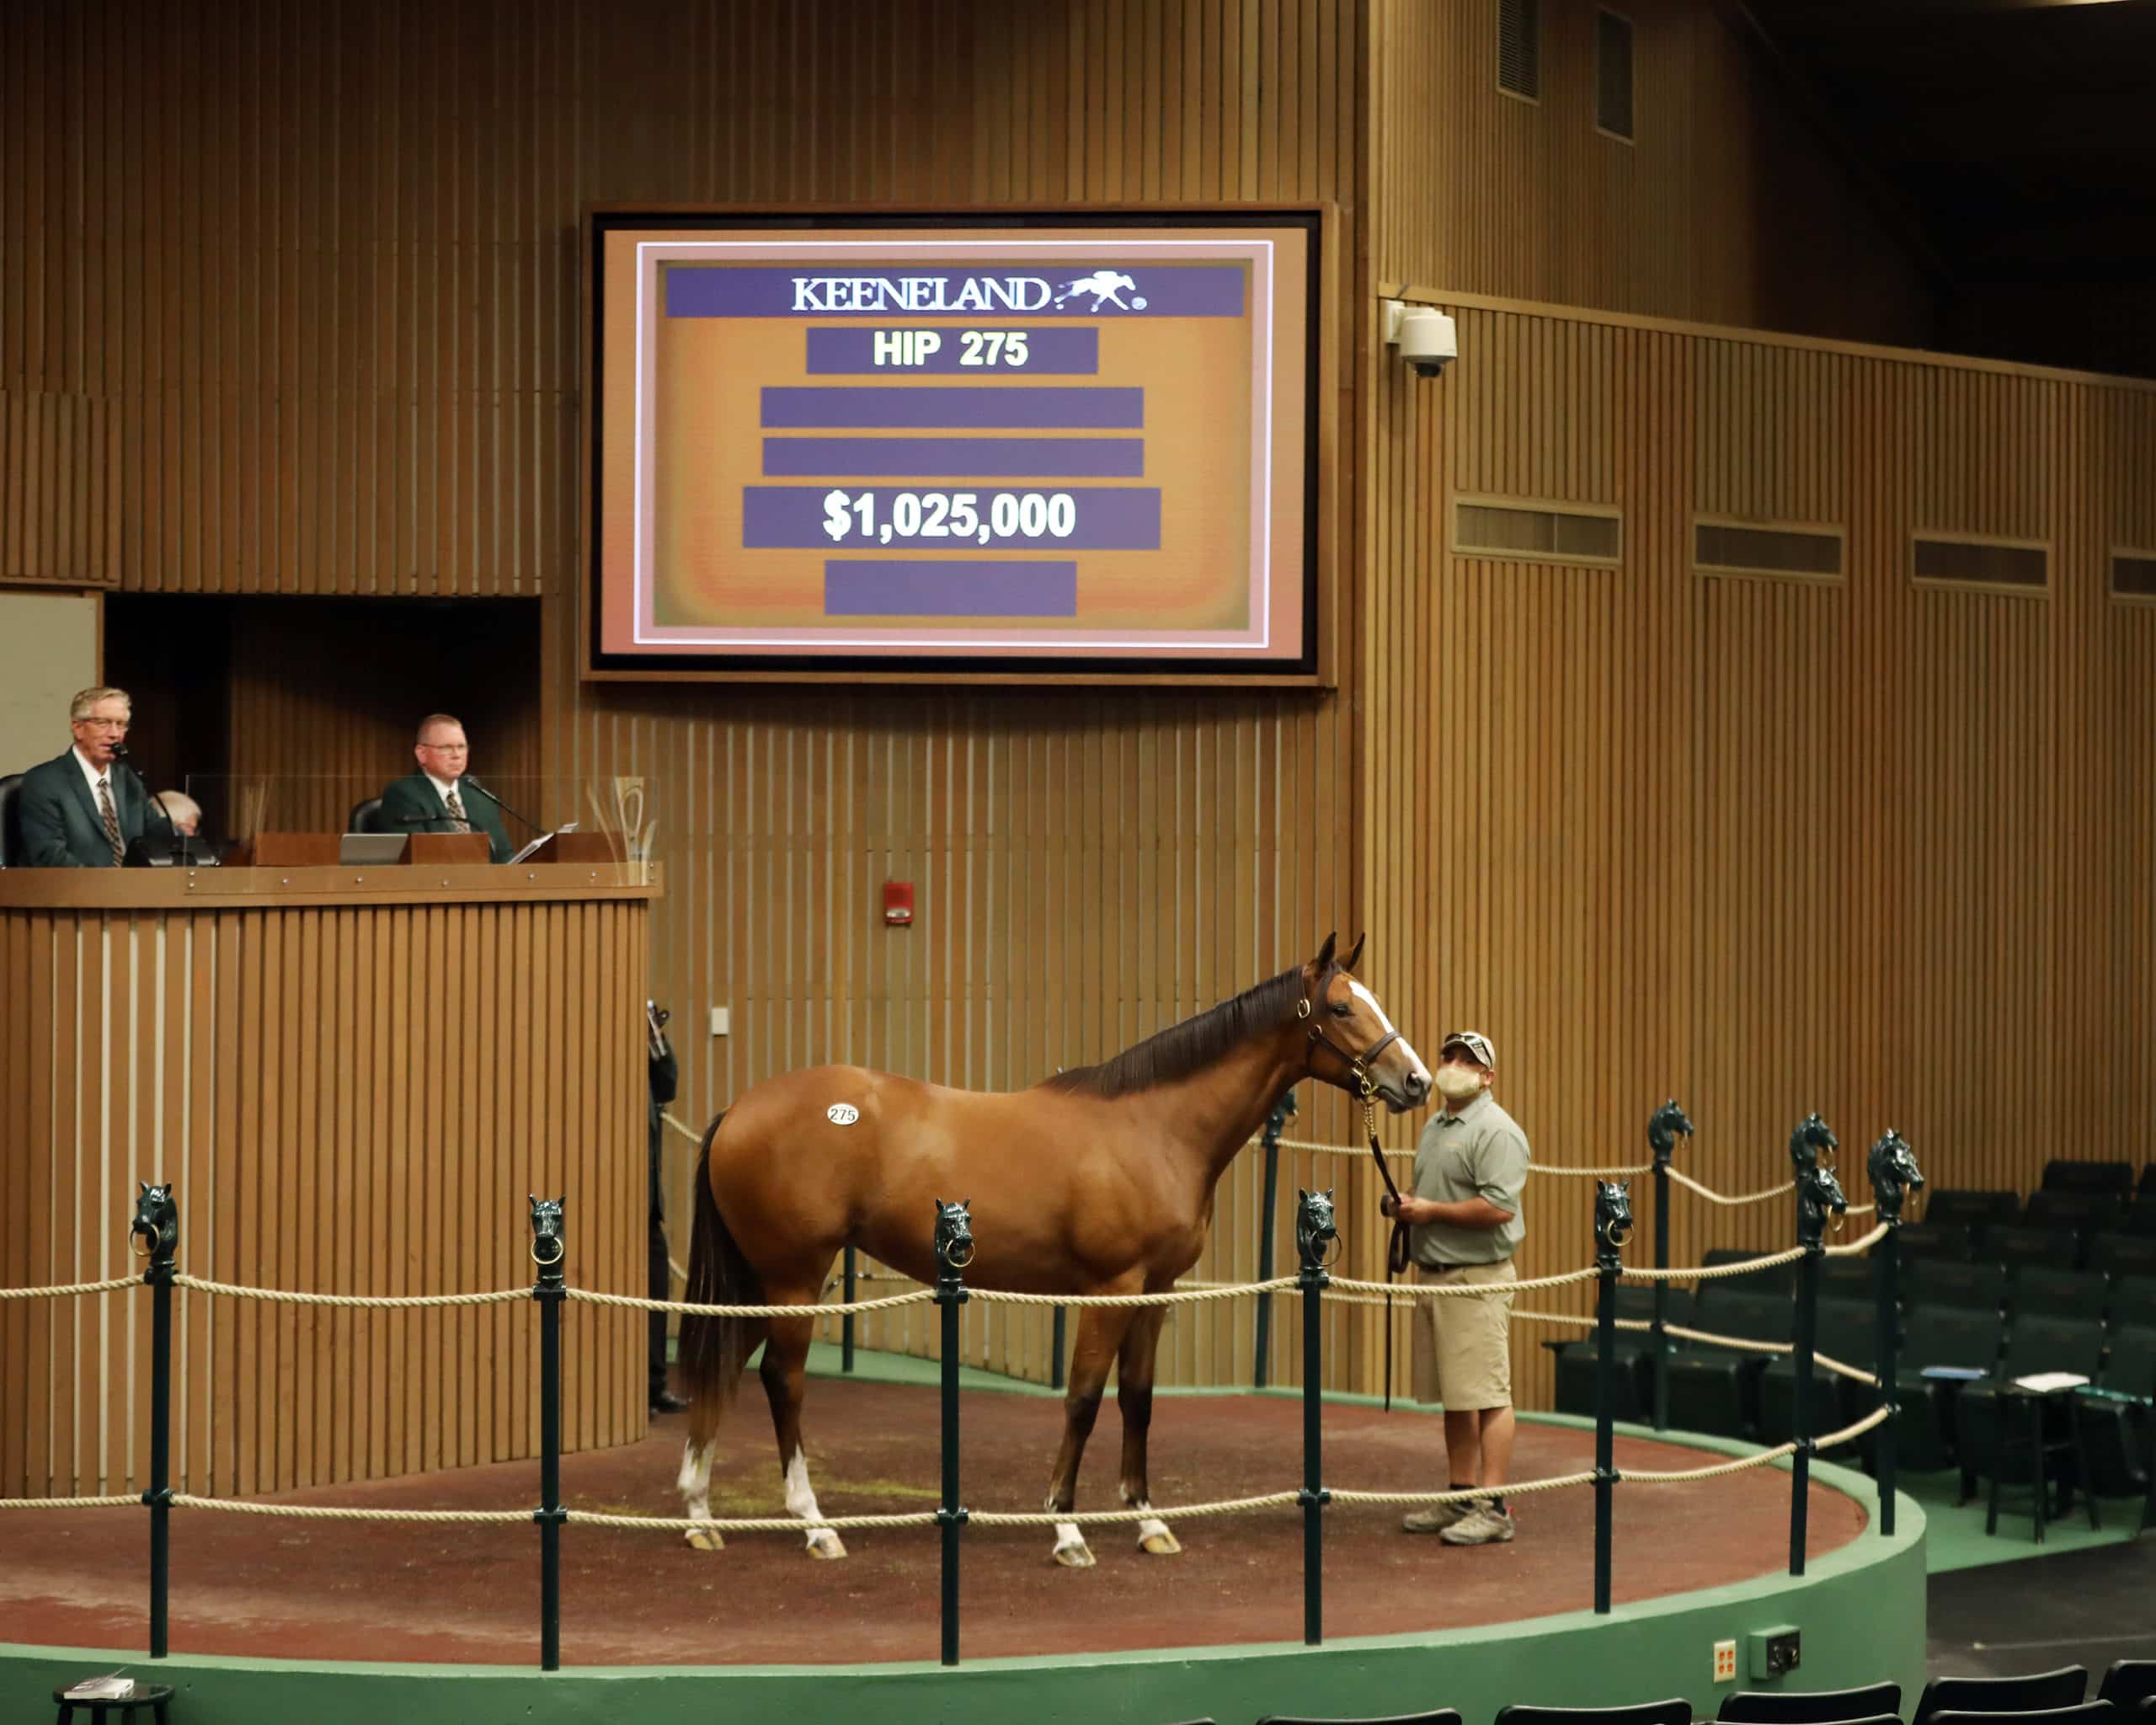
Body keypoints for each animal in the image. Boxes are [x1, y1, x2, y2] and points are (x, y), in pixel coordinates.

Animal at [673, 933, 1431, 1567]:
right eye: (1341, 1007)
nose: (1416, 1080)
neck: (1154, 1127)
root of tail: (738, 1111)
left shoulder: (1156, 1293)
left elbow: (1138, 1400)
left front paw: (1148, 1520)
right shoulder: (1110, 1290)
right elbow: (1084, 1400)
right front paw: (1066, 1528)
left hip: (760, 1284)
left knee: (724, 1366)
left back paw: (701, 1516)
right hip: (795, 1279)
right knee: (782, 1381)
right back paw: (815, 1525)